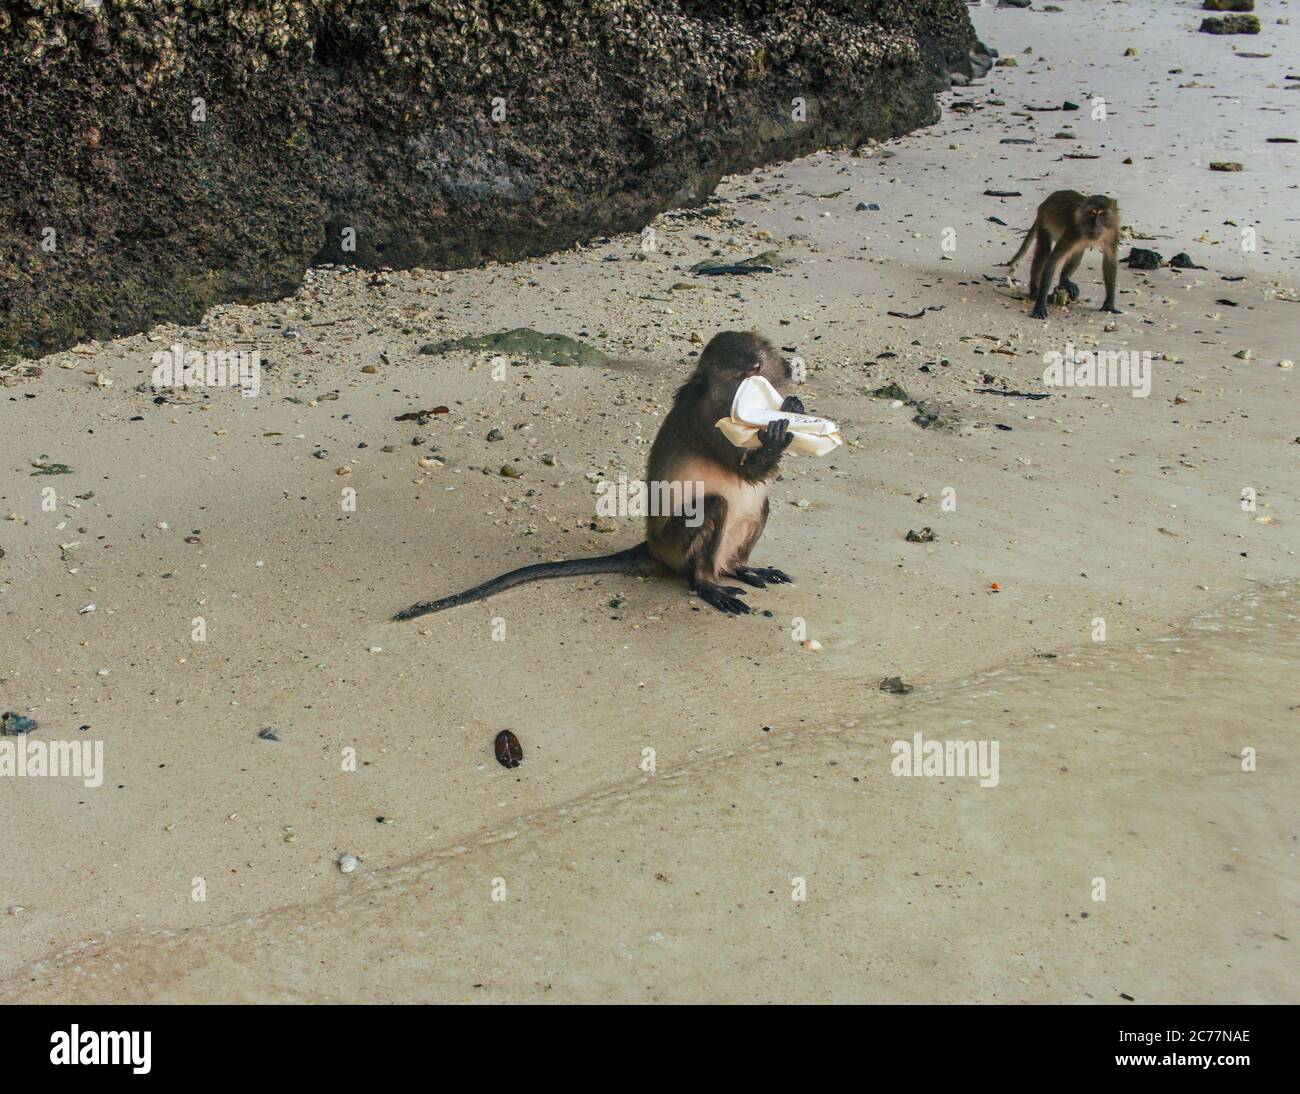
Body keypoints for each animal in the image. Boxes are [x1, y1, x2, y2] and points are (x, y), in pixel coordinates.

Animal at [393, 331, 804, 620]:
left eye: (758, 366)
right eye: (738, 377)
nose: (754, 375)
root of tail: (651, 547)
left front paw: (792, 410)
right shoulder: (706, 417)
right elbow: (746, 471)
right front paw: (775, 435)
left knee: (760, 505)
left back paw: (738, 568)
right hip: (674, 546)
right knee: (713, 505)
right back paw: (706, 582)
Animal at [1002, 190, 1122, 320]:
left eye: (1102, 214)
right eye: (1093, 213)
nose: (1095, 224)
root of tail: (1049, 199)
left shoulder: (1112, 233)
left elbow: (1109, 261)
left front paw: (1109, 303)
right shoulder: (1073, 230)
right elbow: (1053, 259)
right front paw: (1040, 305)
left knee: (1078, 250)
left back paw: (1064, 280)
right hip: (1043, 219)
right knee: (1044, 250)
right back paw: (1034, 289)